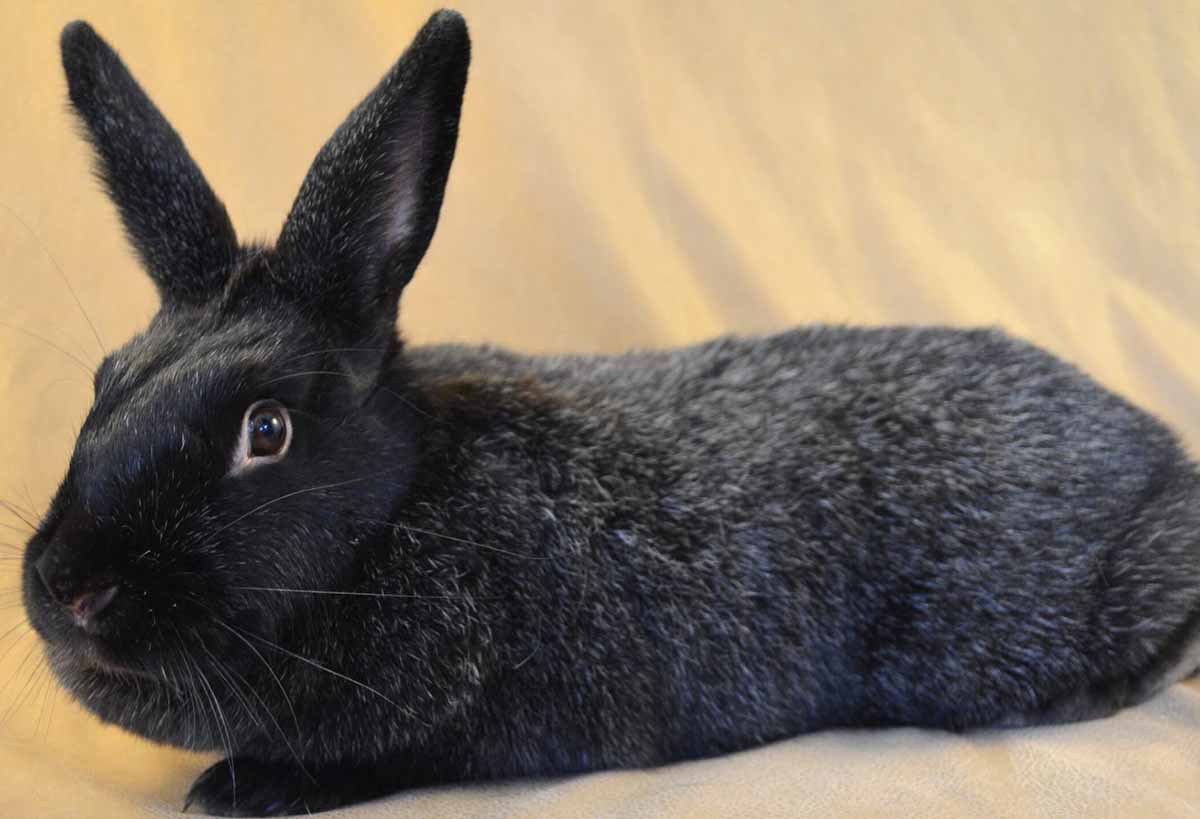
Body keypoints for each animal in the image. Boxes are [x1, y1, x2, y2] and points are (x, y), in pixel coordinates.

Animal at [20, 8, 1200, 817]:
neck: (404, 514)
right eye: (105, 382)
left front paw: (239, 788)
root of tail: (1167, 463)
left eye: (265, 431)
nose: (69, 587)